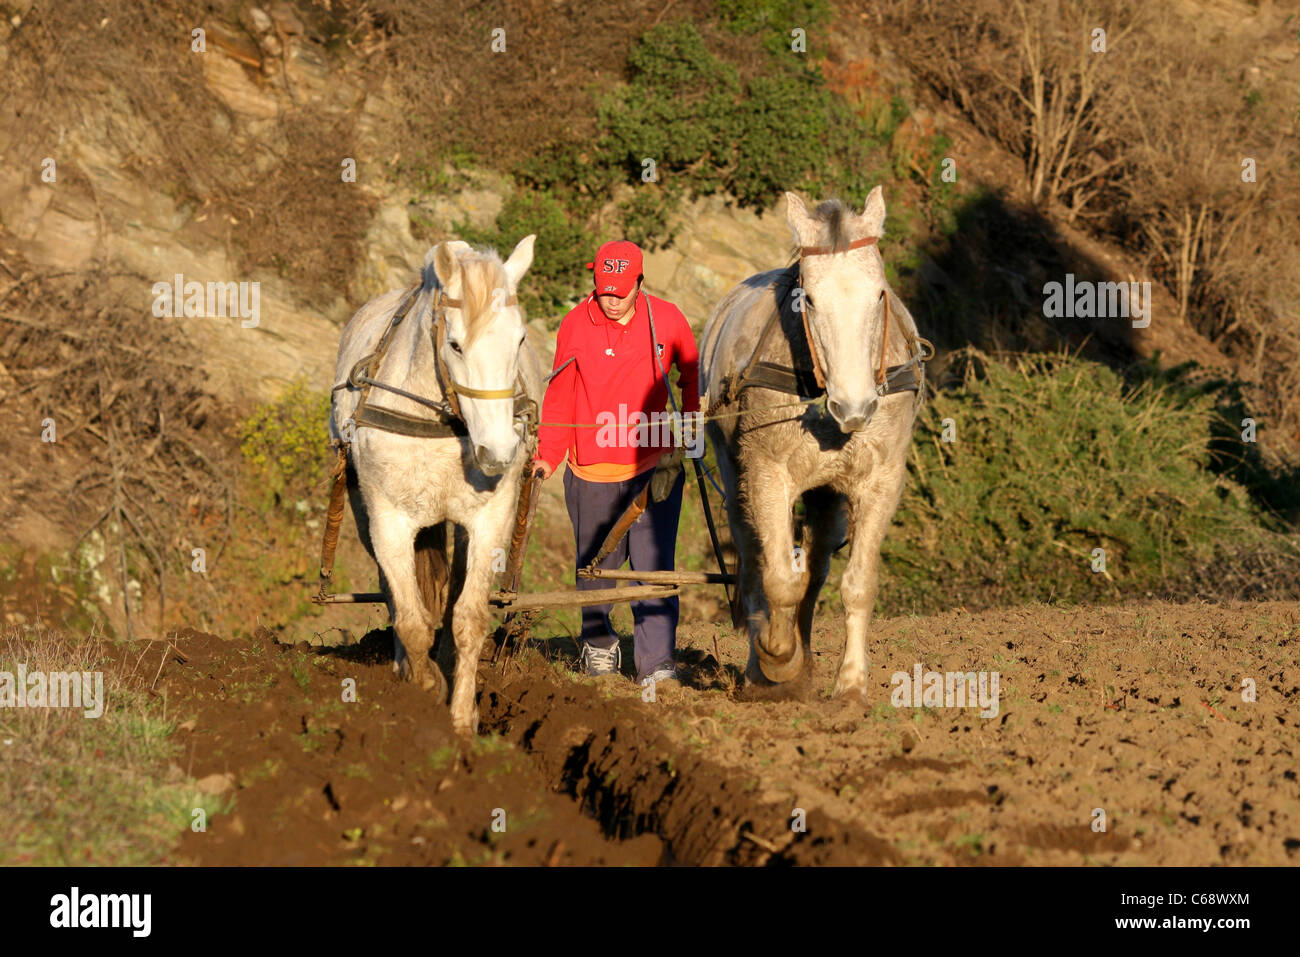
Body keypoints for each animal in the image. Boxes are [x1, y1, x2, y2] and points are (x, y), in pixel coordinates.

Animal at [330, 235, 542, 735]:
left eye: (520, 339)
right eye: (456, 345)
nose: (498, 450)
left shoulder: (489, 521)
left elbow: (467, 618)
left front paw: (462, 719)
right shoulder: (388, 521)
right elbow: (410, 618)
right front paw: (422, 688)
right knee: (398, 597)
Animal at [699, 188, 928, 703]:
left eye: (879, 294)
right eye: (810, 298)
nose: (854, 406)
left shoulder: (881, 480)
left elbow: (855, 584)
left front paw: (851, 684)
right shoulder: (768, 474)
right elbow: (779, 580)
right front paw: (777, 659)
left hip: (826, 496)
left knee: (817, 567)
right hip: (736, 477)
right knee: (754, 563)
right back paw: (765, 666)